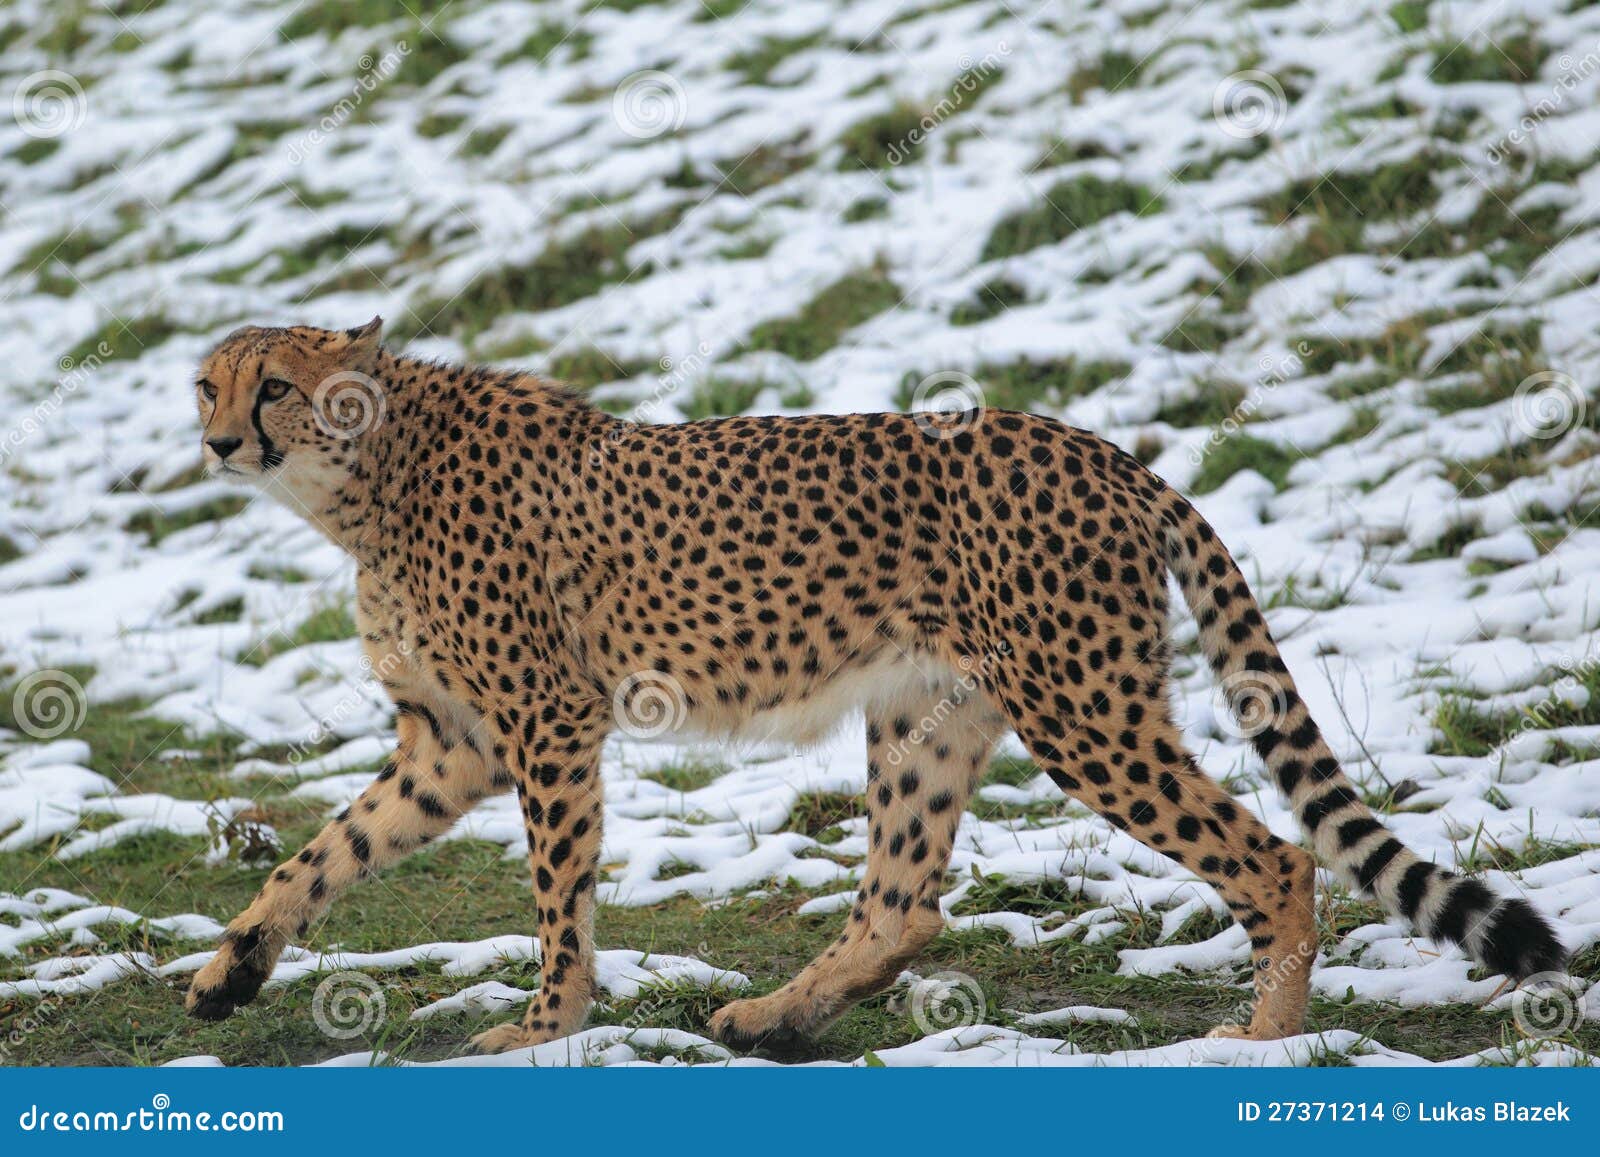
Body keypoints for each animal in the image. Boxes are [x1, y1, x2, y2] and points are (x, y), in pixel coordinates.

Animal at [186, 319, 1565, 1054]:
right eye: (211, 381)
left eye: (277, 386)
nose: (216, 438)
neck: (369, 473)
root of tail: (1097, 446)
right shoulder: (453, 740)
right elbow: (322, 851)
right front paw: (231, 969)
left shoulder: (545, 723)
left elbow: (557, 896)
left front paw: (545, 1022)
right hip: (925, 710)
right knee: (903, 902)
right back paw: (774, 1015)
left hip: (1083, 707)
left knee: (1273, 855)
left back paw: (1266, 1038)